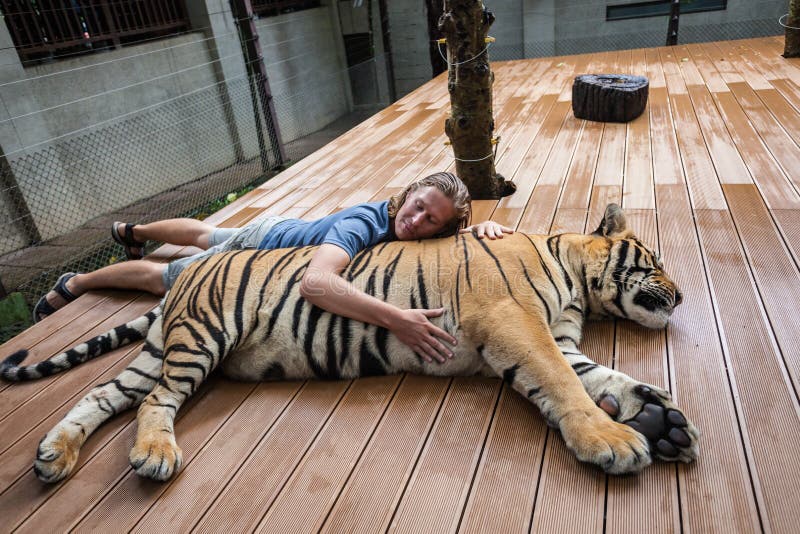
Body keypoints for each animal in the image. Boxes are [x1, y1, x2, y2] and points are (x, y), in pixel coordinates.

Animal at [1, 203, 699, 483]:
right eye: (657, 261)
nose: (684, 295)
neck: (576, 278)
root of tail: (182, 283)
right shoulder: (516, 325)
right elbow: (564, 382)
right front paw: (616, 441)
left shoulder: (550, 333)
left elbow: (597, 375)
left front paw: (660, 419)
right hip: (201, 337)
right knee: (152, 404)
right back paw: (154, 456)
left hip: (160, 353)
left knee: (102, 393)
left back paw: (54, 457)